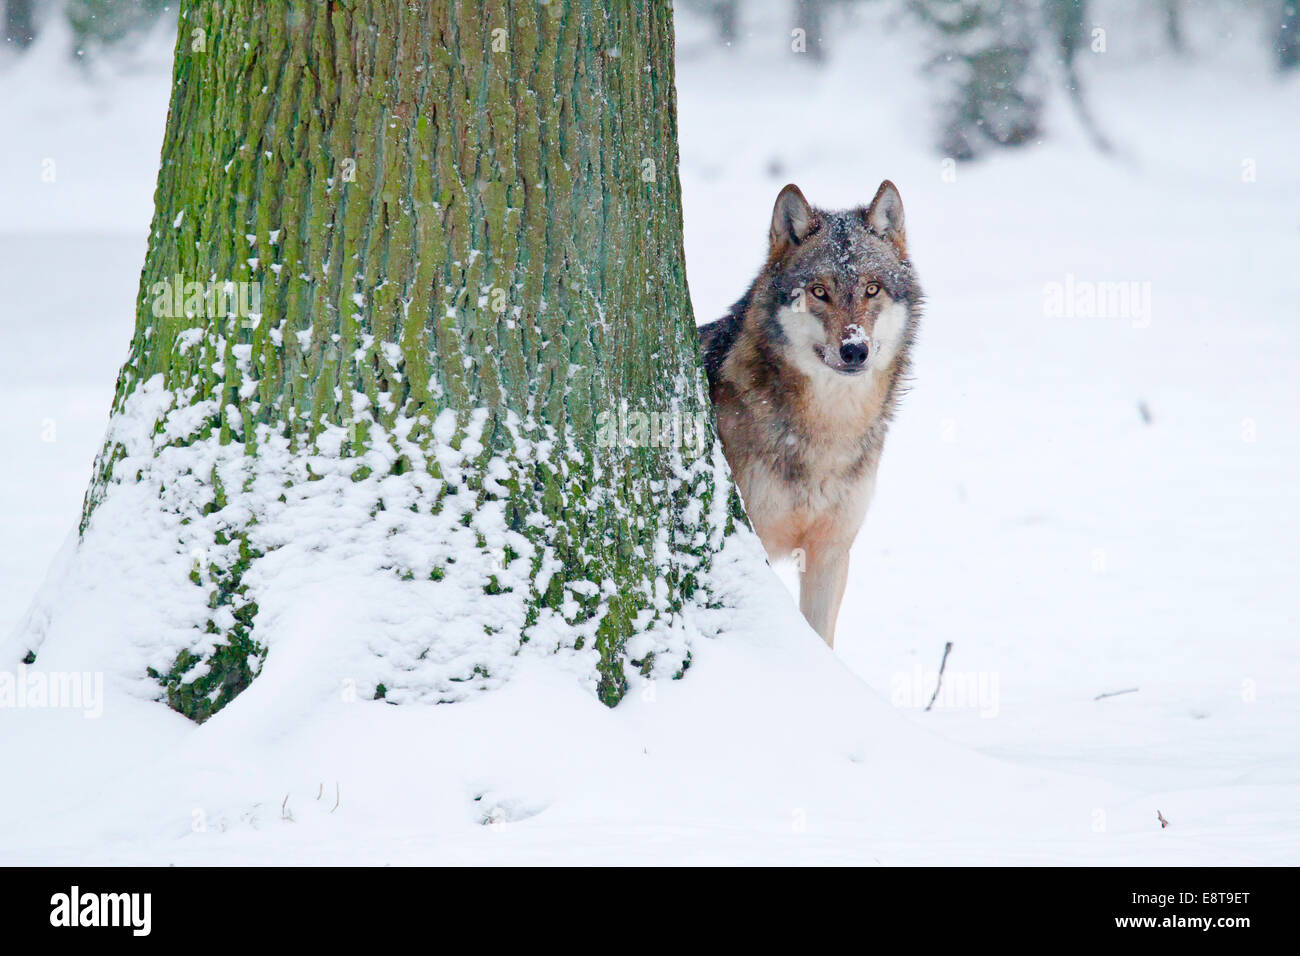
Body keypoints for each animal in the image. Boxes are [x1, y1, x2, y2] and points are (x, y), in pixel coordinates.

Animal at [698, 181, 921, 647]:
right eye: (819, 291)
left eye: (872, 289)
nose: (854, 349)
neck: (828, 433)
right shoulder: (758, 542)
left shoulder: (831, 552)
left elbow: (822, 638)